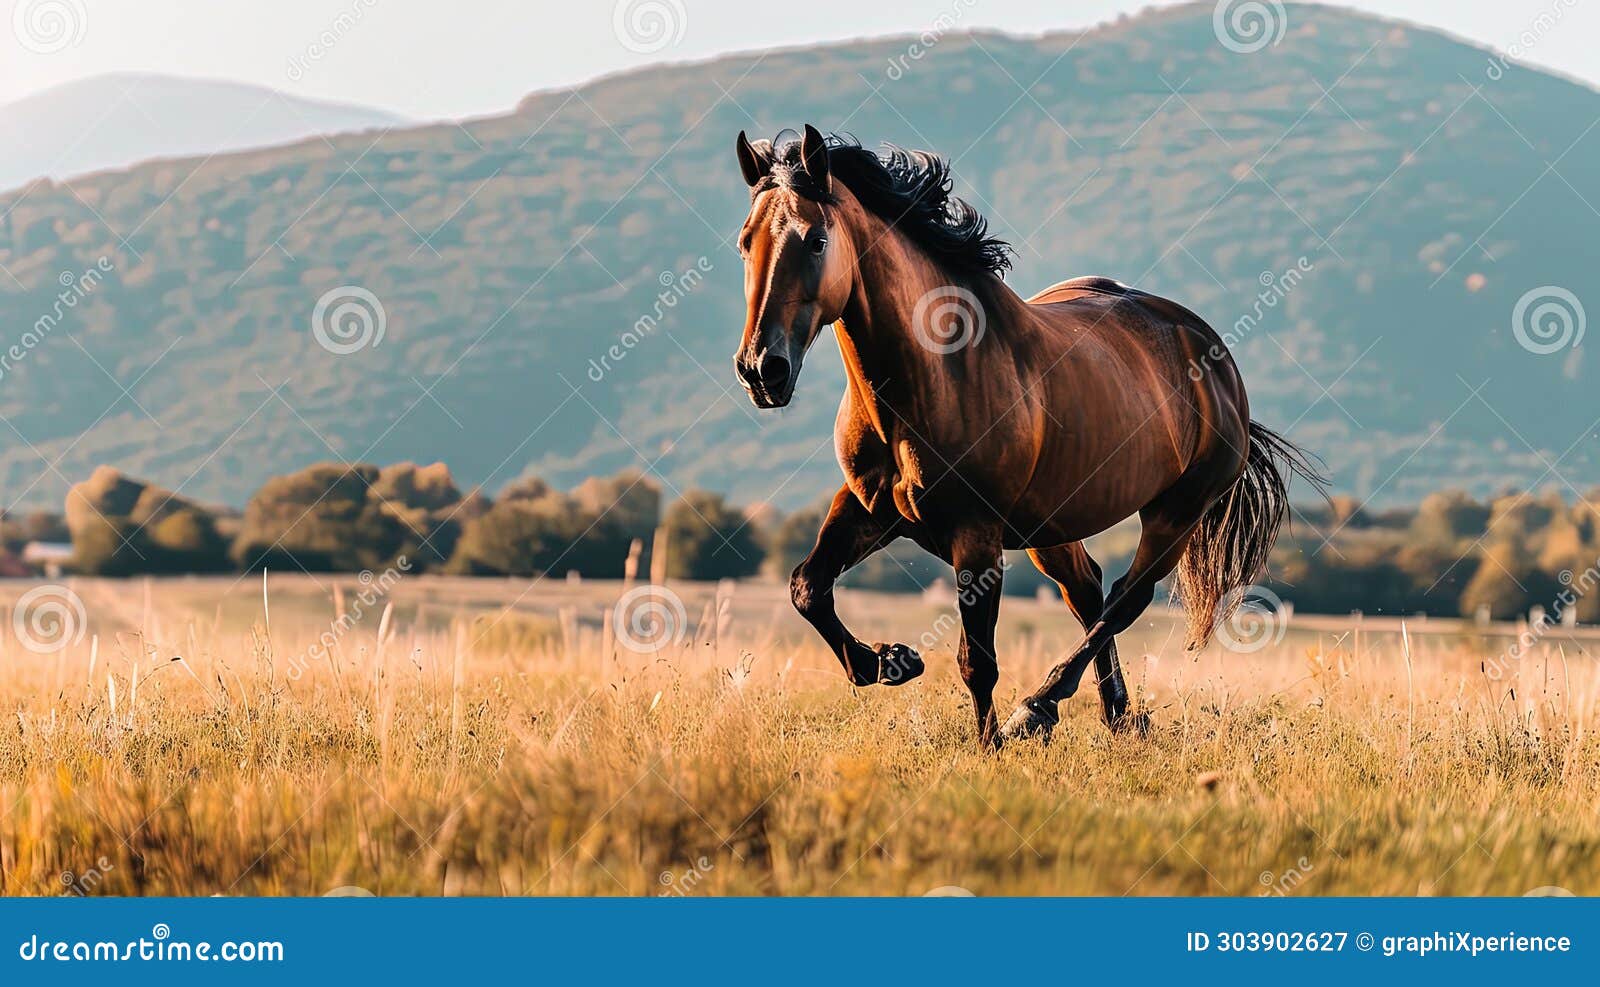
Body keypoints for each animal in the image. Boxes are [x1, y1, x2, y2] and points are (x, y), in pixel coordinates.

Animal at [730, 125, 1323, 748]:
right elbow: (807, 586)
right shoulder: (868, 508)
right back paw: (1117, 715)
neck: (933, 374)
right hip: (1052, 526)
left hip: (1176, 513)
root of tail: (1216, 358)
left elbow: (977, 661)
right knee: (1089, 592)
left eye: (816, 239)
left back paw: (1039, 707)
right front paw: (889, 661)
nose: (761, 370)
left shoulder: (976, 535)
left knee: (1124, 598)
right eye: (745, 242)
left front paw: (988, 743)